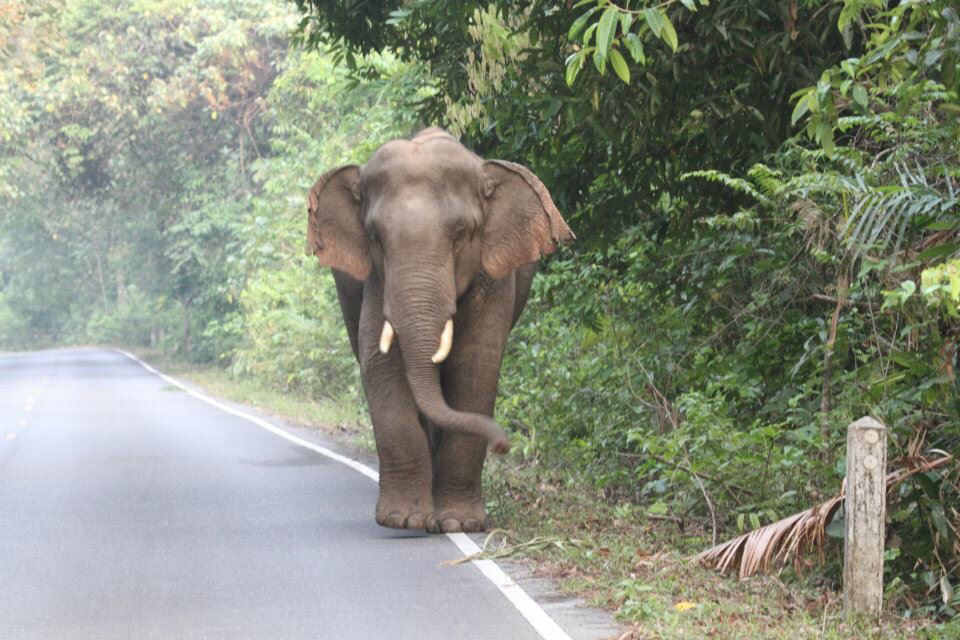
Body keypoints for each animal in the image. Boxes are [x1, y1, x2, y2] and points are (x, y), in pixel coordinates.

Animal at [306, 127, 573, 532]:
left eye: (462, 234)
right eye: (375, 237)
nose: (504, 445)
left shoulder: (493, 278)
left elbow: (474, 370)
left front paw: (459, 524)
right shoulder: (375, 282)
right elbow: (380, 365)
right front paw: (404, 520)